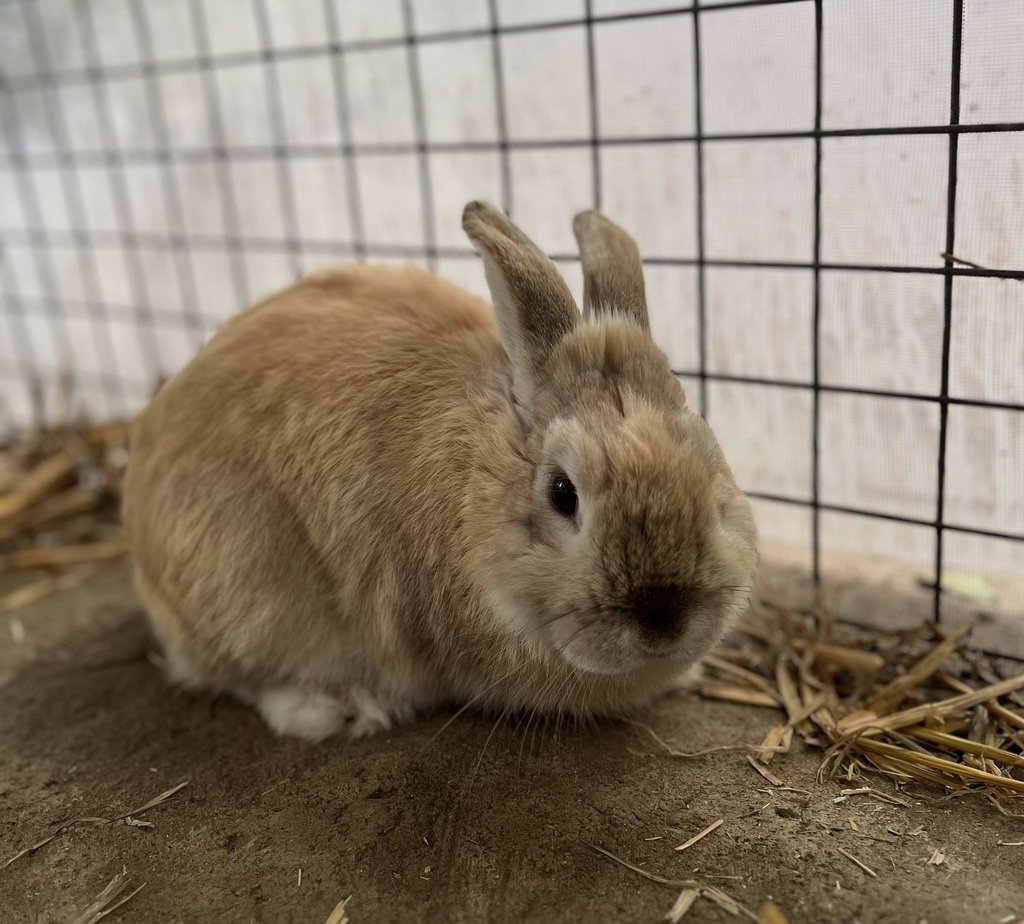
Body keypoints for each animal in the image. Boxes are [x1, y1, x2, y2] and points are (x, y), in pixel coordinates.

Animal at [122, 201, 758, 742]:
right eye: (562, 492)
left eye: (709, 464)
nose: (664, 618)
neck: (478, 477)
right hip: (249, 597)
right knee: (238, 675)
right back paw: (338, 708)